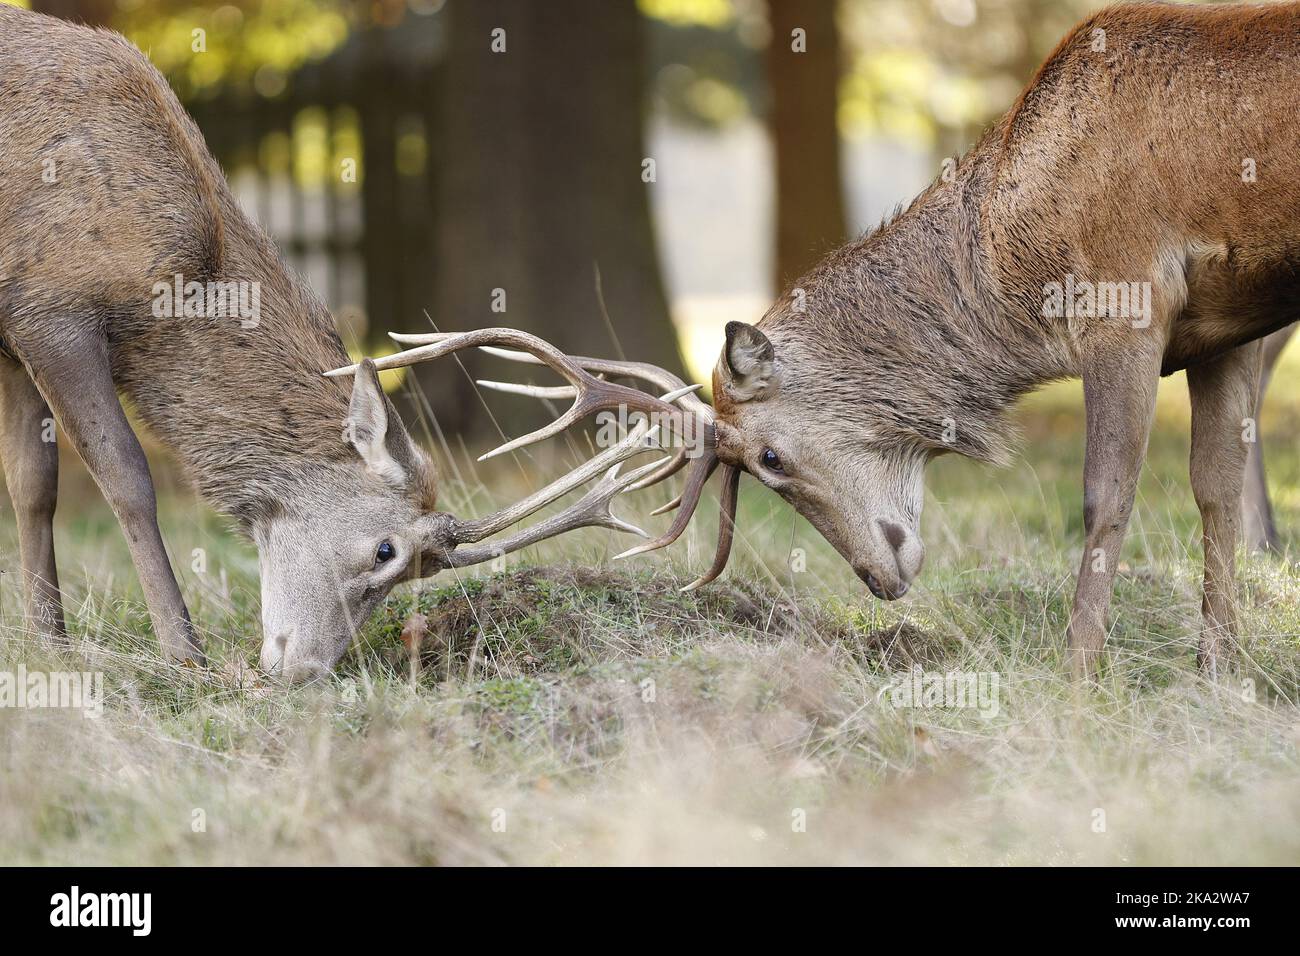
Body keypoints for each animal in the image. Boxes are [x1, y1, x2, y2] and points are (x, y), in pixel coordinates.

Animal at [0, 6, 709, 679]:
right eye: (386, 550)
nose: (306, 671)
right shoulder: (50, 309)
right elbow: (126, 477)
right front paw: (184, 655)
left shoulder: (12, 339)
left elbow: (33, 483)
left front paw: (47, 646)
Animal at [430, 0, 1300, 678]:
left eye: (771, 458)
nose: (877, 582)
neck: (1024, 253)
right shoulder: (1220, 330)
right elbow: (1215, 490)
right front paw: (1219, 672)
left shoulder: (1128, 299)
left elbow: (1105, 497)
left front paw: (1081, 676)